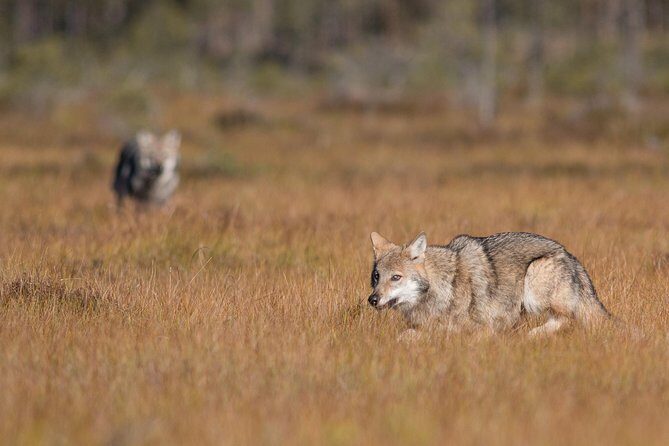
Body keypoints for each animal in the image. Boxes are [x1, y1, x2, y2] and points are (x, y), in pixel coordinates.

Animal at [368, 231, 609, 337]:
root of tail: (569, 256)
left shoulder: (482, 328)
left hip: (533, 281)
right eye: (377, 277)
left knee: (567, 319)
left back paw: (529, 337)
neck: (444, 286)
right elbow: (405, 335)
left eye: (396, 277)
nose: (372, 299)